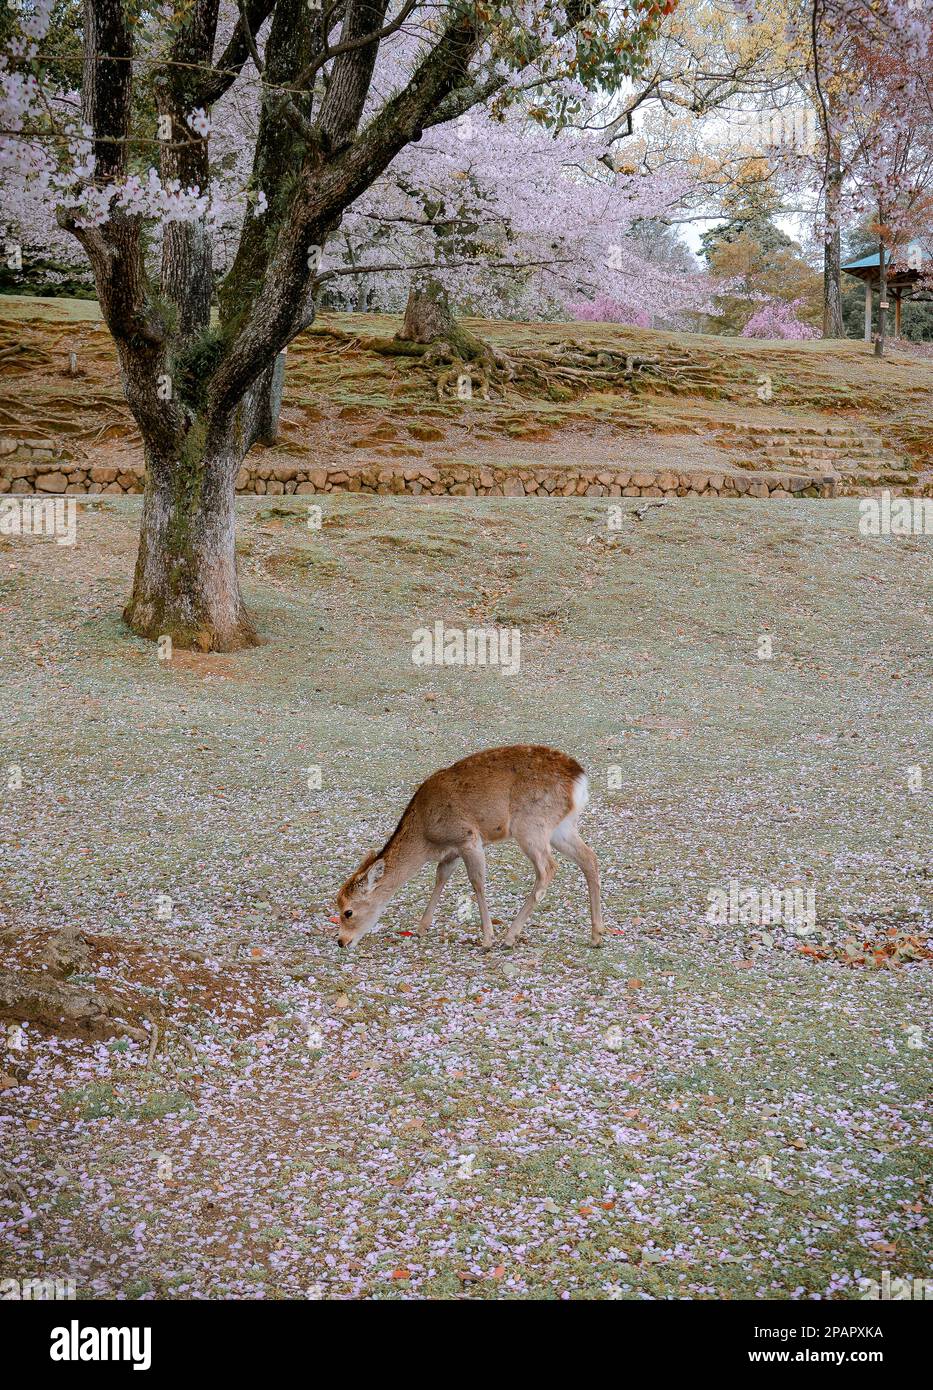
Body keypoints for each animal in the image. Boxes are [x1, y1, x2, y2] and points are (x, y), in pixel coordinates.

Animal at [334, 745, 603, 951]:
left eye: (348, 911)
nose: (341, 941)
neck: (426, 836)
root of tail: (579, 779)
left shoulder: (468, 837)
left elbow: (477, 882)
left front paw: (487, 939)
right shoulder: (451, 852)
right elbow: (440, 878)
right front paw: (421, 928)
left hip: (530, 826)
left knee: (548, 868)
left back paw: (509, 937)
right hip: (561, 827)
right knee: (589, 857)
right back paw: (597, 935)